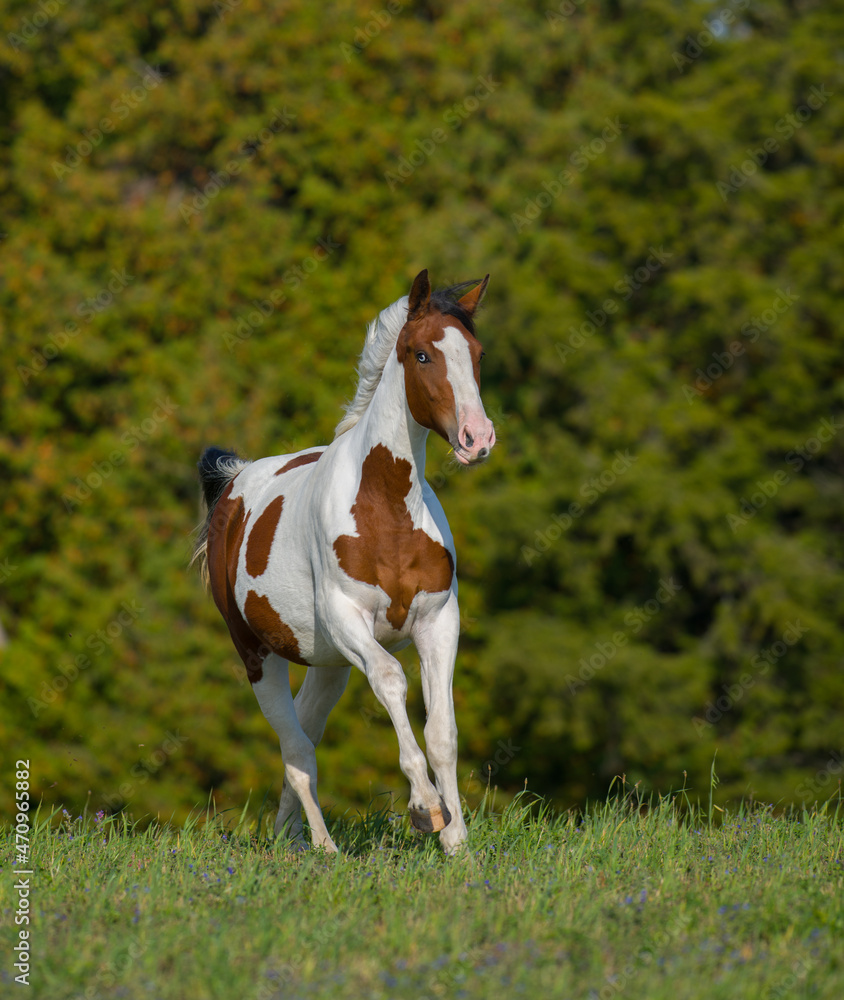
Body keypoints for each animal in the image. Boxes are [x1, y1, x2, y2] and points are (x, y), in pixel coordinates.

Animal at [191, 269, 495, 854]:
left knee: (306, 736)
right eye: (421, 354)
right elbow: (393, 680)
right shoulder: (347, 618)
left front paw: (458, 844)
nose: (478, 439)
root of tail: (234, 483)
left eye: (477, 352)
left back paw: (290, 841)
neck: (386, 511)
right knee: (297, 751)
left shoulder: (439, 621)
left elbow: (442, 733)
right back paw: (324, 848)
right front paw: (425, 810)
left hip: (328, 664)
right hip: (257, 653)